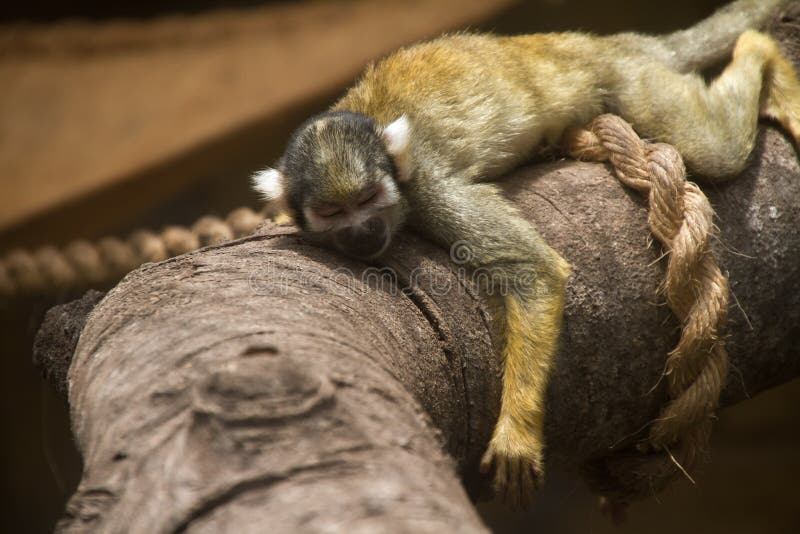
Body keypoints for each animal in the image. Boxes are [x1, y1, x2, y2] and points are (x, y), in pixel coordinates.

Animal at [252, 0, 800, 505]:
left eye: (368, 199)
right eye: (332, 211)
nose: (363, 230)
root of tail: (599, 43)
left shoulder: (429, 187)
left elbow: (533, 270)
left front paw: (516, 433)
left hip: (629, 78)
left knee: (716, 150)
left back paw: (761, 50)